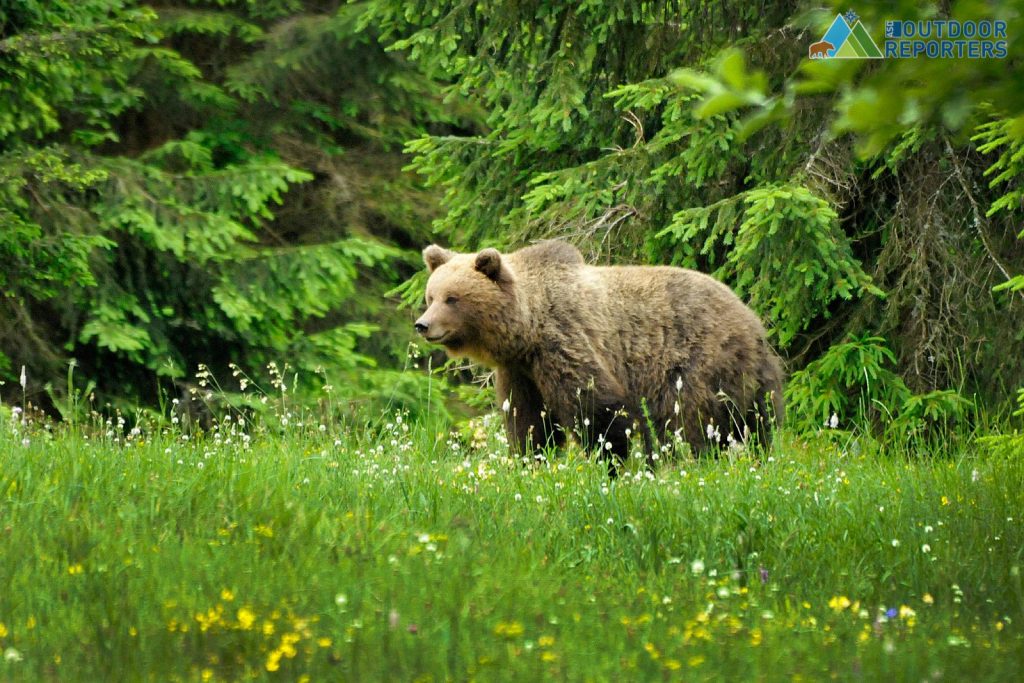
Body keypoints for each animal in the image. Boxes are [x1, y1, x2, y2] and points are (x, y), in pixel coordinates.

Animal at [414, 240, 784, 473]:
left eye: (452, 298)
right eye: (431, 296)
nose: (423, 325)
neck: (527, 330)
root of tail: (751, 318)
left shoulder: (564, 342)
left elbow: (594, 408)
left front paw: (612, 464)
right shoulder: (521, 372)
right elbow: (527, 421)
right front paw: (527, 462)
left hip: (698, 359)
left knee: (695, 418)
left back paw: (704, 459)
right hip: (747, 378)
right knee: (756, 423)